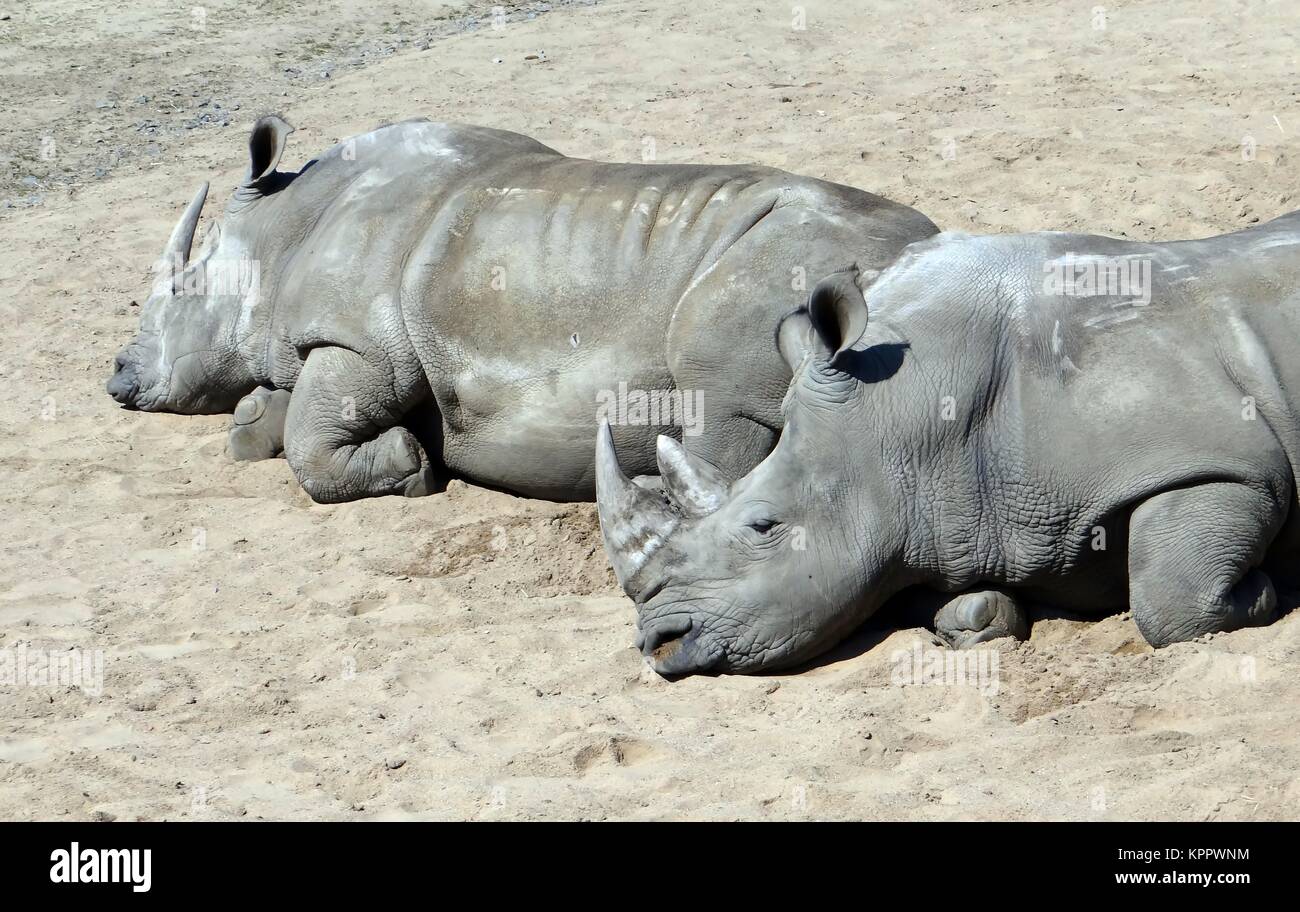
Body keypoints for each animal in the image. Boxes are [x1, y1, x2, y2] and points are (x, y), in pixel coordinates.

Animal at [107, 116, 937, 502]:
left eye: (181, 291)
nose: (117, 378)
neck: (283, 231)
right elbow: (273, 422)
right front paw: (256, 419)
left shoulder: (365, 344)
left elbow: (314, 447)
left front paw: (407, 465)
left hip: (803, 259)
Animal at [596, 215, 1300, 675]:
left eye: (764, 526)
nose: (659, 640)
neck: (912, 423)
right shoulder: (936, 519)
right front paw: (983, 614)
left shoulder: (1219, 463)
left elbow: (1174, 600)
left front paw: (1265, 593)